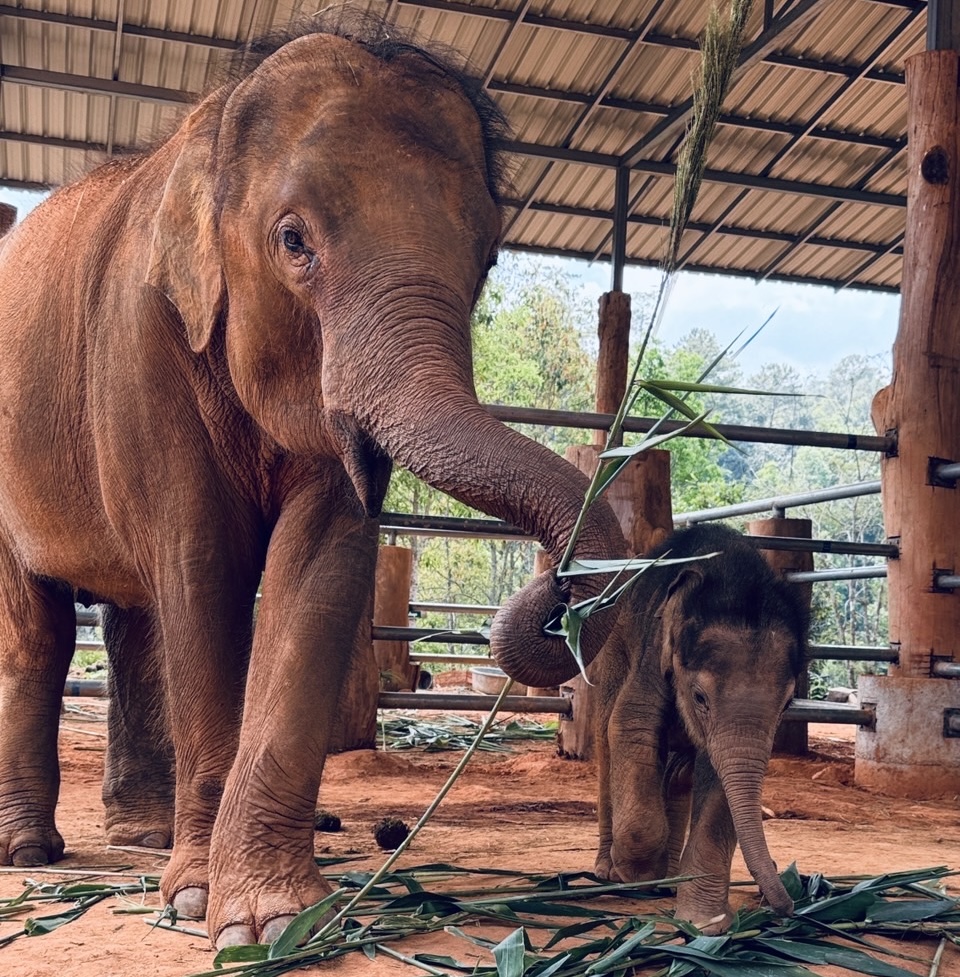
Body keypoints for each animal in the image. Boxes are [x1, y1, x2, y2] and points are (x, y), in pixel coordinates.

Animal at [0, 14, 626, 949]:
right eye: (293, 241)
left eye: (486, 259)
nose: (555, 595)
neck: (212, 129)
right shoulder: (141, 339)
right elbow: (204, 569)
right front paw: (201, 902)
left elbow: (323, 568)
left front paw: (272, 918)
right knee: (40, 633)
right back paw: (31, 854)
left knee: (134, 618)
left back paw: (142, 837)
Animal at [591, 523, 808, 932]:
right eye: (699, 697)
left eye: (788, 703)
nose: (788, 905)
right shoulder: (652, 651)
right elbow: (630, 725)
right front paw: (635, 873)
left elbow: (722, 780)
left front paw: (704, 926)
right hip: (609, 654)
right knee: (606, 738)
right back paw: (610, 874)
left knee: (679, 776)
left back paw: (668, 877)